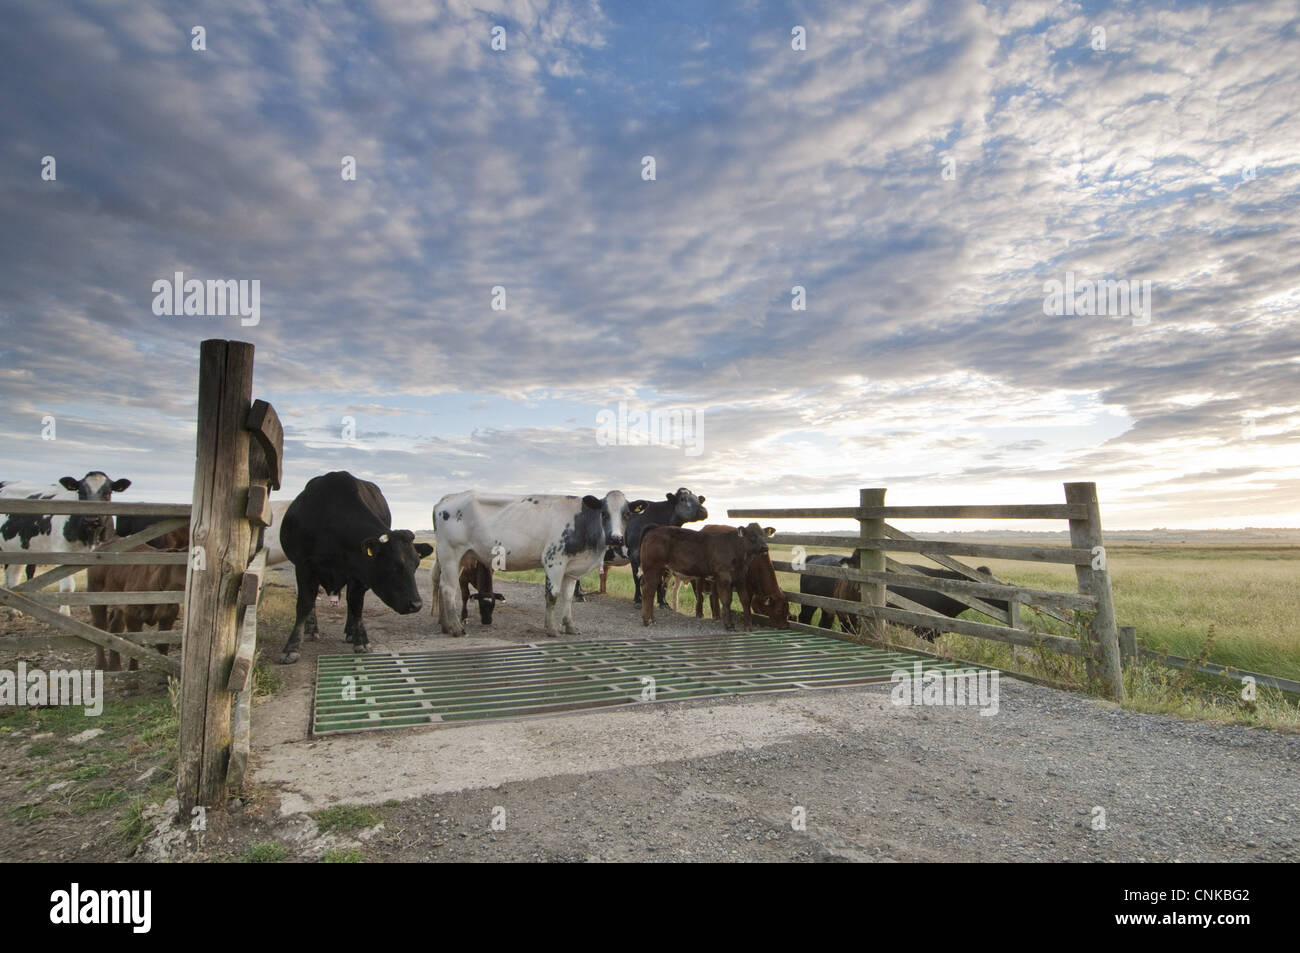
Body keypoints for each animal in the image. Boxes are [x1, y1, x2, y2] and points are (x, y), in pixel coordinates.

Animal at [1, 472, 131, 615]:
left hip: (18, 549)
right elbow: (67, 587)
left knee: (13, 577)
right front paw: (64, 613)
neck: (90, 536)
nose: (91, 519)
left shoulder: (101, 554)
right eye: (80, 492)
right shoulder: (62, 553)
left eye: (107, 493)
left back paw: (14, 611)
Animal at [88, 527, 189, 671]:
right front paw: (133, 673)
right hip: (95, 591)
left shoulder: (170, 613)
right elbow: (136, 643)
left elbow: (163, 643)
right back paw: (101, 665)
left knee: (115, 627)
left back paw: (115, 666)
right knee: (99, 626)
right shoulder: (132, 613)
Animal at [277, 472, 432, 664]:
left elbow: (356, 605)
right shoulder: (304, 565)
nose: (416, 604)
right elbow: (305, 603)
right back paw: (311, 630)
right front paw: (291, 647)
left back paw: (351, 631)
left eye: (416, 565)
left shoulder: (359, 573)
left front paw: (361, 640)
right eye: (393, 565)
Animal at [431, 491, 645, 638]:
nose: (616, 538)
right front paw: (551, 629)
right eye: (604, 513)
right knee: (448, 589)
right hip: (450, 553)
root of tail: (447, 498)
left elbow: (568, 597)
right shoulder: (554, 560)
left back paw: (445, 625)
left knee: (441, 585)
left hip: (459, 557)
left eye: (627, 514)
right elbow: (552, 595)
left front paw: (570, 626)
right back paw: (456, 628)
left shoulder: (571, 569)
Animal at [638, 523, 770, 630]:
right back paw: (647, 620)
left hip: (659, 570)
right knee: (648, 591)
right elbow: (726, 600)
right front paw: (729, 625)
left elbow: (745, 600)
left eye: (764, 535)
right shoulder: (724, 576)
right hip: (652, 568)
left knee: (650, 590)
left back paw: (651, 618)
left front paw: (748, 626)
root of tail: (655, 529)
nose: (765, 547)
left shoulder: (741, 578)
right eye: (752, 536)